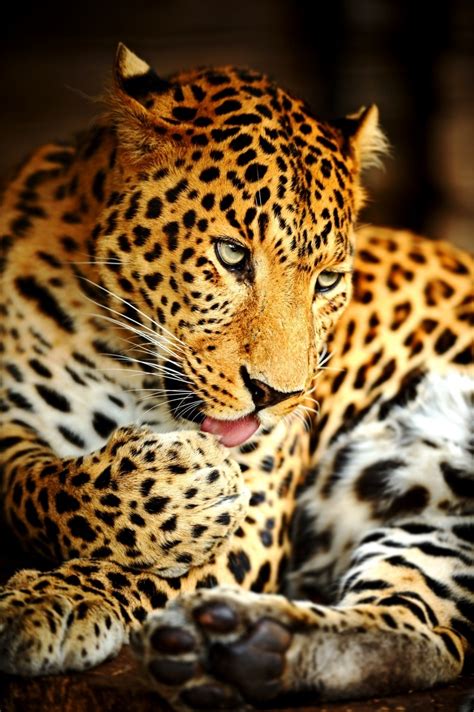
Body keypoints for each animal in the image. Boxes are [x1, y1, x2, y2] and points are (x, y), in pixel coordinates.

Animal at [0, 43, 472, 711]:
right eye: (230, 255)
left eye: (327, 280)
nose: (278, 395)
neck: (121, 359)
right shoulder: (11, 420)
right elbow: (39, 491)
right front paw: (167, 487)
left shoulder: (259, 513)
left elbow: (142, 570)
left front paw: (58, 600)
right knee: (421, 631)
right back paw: (245, 651)